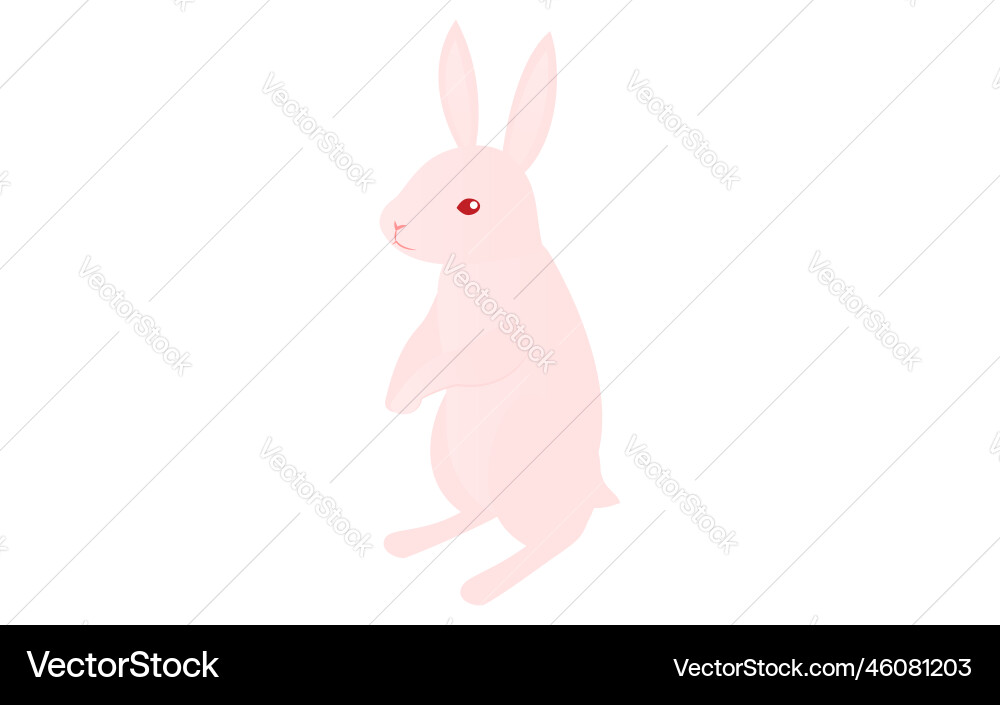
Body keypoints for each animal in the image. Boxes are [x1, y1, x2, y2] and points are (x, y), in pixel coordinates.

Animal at [379, 22, 618, 605]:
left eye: (470, 205)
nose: (394, 224)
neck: (483, 260)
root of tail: (596, 490)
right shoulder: (432, 328)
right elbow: (417, 348)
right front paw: (396, 401)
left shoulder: (502, 340)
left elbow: (464, 365)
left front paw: (409, 398)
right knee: (475, 517)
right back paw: (407, 541)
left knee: (555, 542)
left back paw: (481, 588)